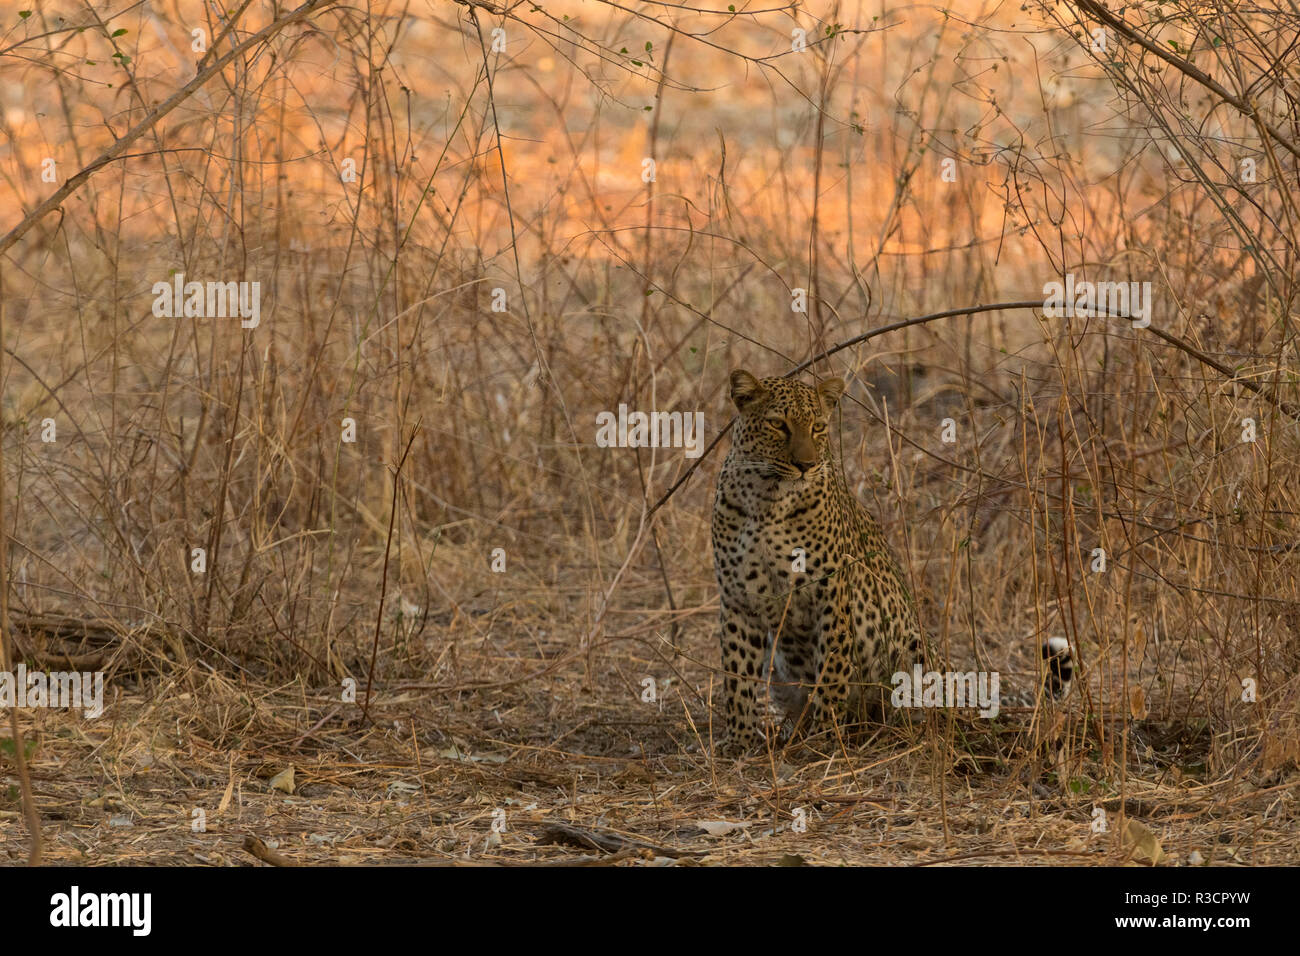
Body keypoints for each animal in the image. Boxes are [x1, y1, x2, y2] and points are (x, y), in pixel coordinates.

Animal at [711, 369, 1074, 751]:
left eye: (818, 427)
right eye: (778, 424)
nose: (805, 466)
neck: (767, 499)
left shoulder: (832, 595)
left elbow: (831, 672)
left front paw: (825, 737)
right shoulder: (737, 601)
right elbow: (737, 675)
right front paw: (739, 739)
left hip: (916, 649)